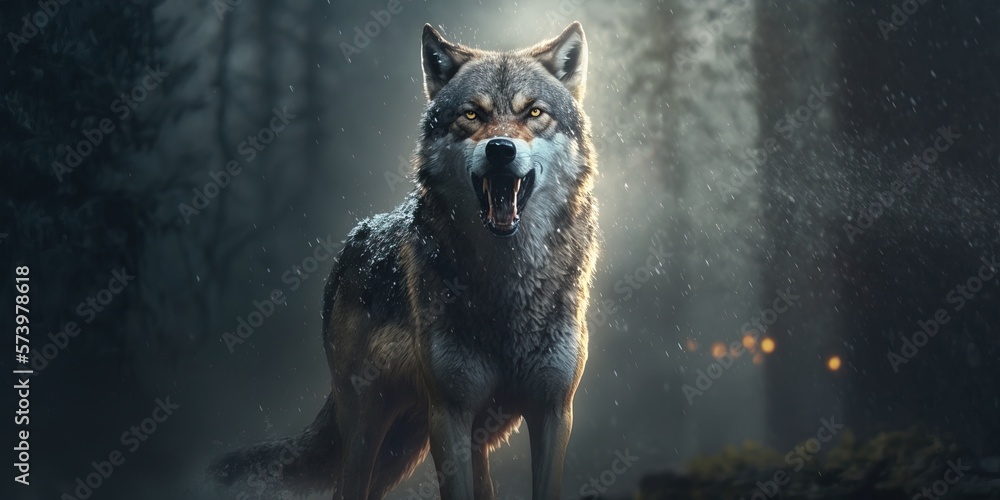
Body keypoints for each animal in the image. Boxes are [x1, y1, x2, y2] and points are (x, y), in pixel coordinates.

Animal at [210, 22, 599, 500]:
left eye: (534, 113)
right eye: (472, 115)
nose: (500, 149)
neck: (508, 282)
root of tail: (351, 243)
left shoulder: (552, 412)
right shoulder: (449, 415)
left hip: (438, 439)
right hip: (370, 429)